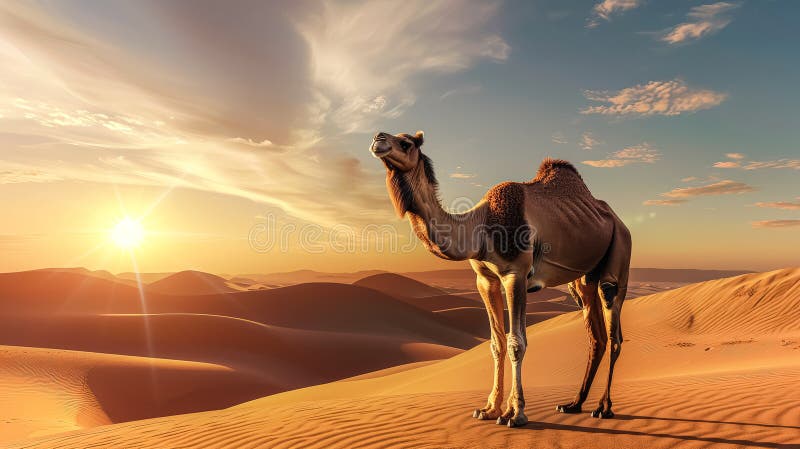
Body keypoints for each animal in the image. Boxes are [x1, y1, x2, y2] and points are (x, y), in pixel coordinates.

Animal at [370, 131, 631, 428]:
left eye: (406, 143)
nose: (378, 139)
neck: (479, 227)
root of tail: (618, 221)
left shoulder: (515, 275)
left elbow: (517, 343)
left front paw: (515, 414)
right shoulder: (485, 280)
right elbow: (496, 343)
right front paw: (490, 409)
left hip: (619, 255)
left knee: (614, 329)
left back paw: (603, 408)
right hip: (583, 278)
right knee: (596, 335)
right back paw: (573, 404)